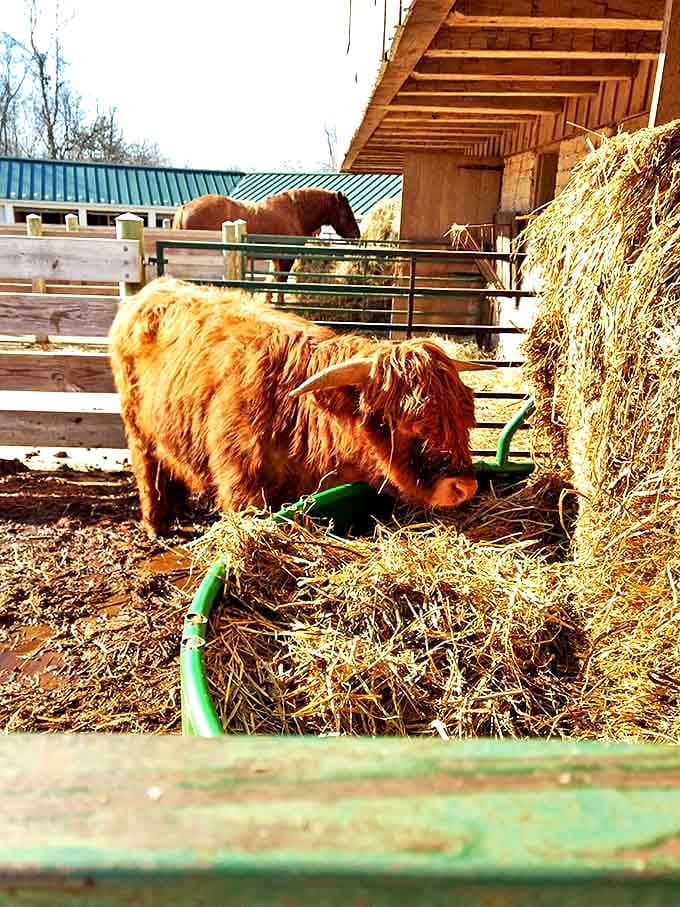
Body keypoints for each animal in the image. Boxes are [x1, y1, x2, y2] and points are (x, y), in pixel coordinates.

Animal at [109, 277, 490, 536]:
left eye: (464, 416)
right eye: (394, 423)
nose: (464, 487)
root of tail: (153, 288)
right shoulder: (242, 487)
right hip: (138, 432)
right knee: (149, 474)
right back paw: (157, 526)